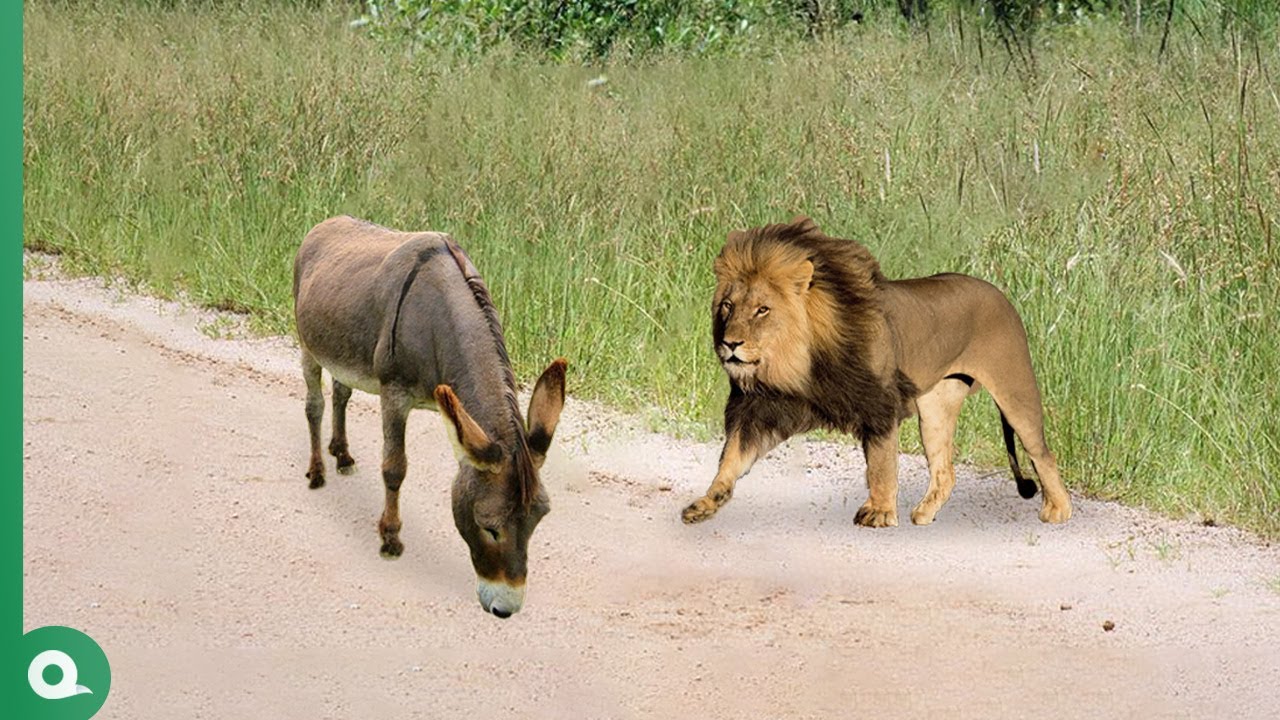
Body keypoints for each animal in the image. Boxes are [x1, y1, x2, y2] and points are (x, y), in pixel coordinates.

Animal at [681, 216, 1072, 528]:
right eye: (728, 306)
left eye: (763, 309)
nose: (730, 343)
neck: (796, 361)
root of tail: (1000, 293)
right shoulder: (761, 408)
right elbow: (731, 458)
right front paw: (707, 502)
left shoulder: (879, 402)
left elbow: (881, 465)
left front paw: (880, 512)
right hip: (936, 406)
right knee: (945, 471)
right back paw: (924, 515)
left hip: (1014, 387)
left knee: (1042, 453)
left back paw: (1058, 510)